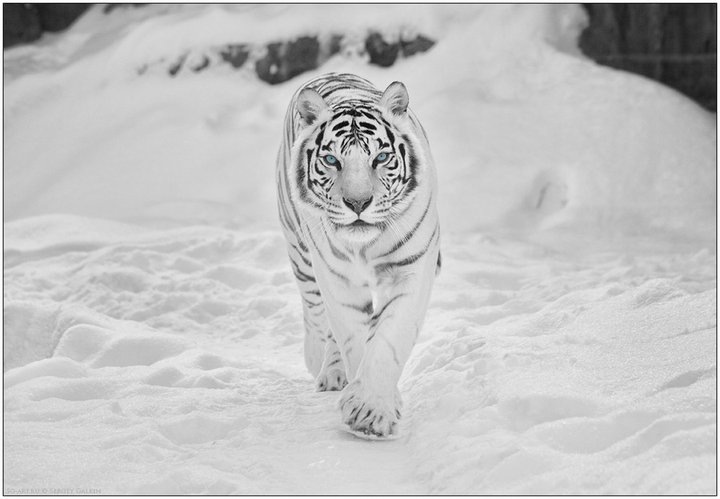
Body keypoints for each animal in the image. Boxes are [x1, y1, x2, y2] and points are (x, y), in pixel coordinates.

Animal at [276, 72, 440, 438]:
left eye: (380, 158)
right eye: (331, 160)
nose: (358, 203)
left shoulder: (411, 268)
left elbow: (389, 337)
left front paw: (372, 410)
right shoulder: (337, 278)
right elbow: (352, 334)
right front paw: (368, 406)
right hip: (300, 252)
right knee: (316, 312)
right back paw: (324, 366)